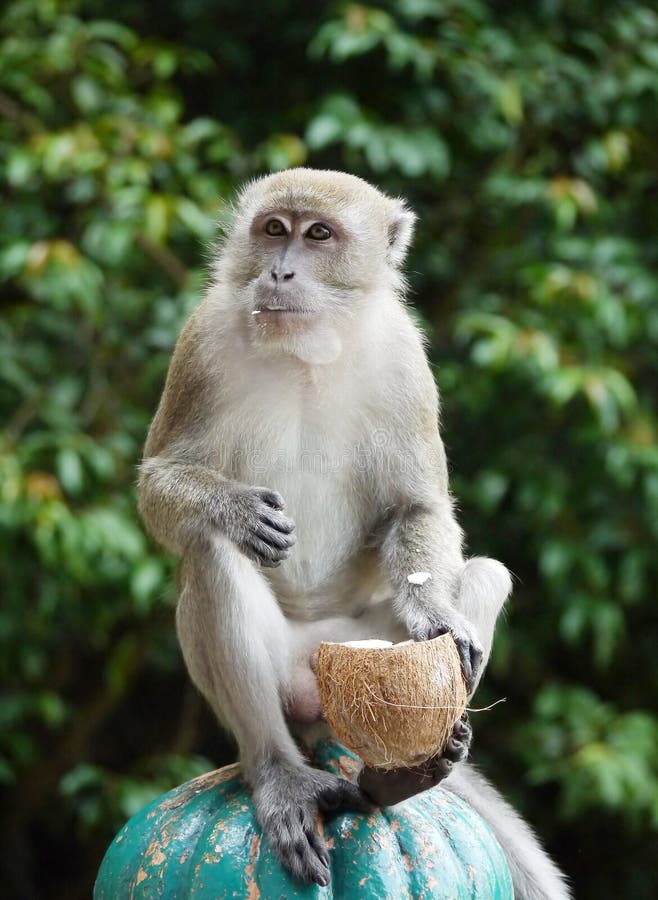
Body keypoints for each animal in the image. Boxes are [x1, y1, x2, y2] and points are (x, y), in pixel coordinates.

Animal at [138, 168, 570, 898]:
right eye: (273, 230)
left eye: (318, 235)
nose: (279, 271)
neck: (308, 351)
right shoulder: (203, 338)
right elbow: (158, 486)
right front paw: (234, 509)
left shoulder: (405, 358)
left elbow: (417, 509)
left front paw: (435, 614)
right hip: (285, 679)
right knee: (212, 555)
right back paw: (278, 773)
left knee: (485, 573)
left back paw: (400, 776)